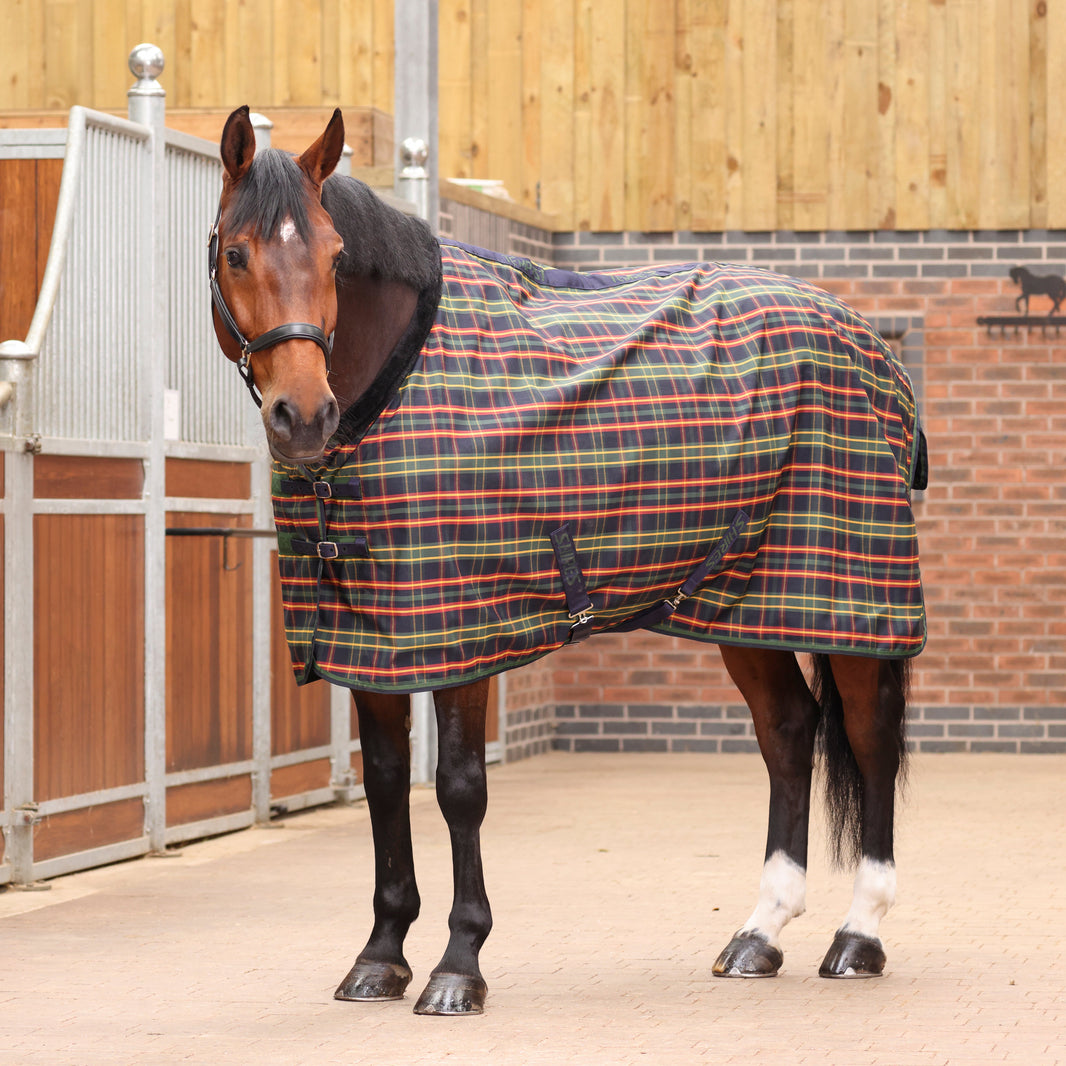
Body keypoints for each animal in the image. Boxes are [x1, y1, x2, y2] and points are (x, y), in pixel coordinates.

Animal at [208, 106, 927, 1015]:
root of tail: (870, 343)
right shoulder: (374, 640)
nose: (303, 415)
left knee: (868, 738)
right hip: (743, 600)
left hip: (854, 599)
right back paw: (758, 935)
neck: (398, 383)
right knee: (789, 732)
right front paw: (379, 957)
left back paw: (858, 935)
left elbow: (460, 789)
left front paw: (458, 968)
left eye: (336, 255)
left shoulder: (464, 634)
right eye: (237, 252)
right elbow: (384, 783)